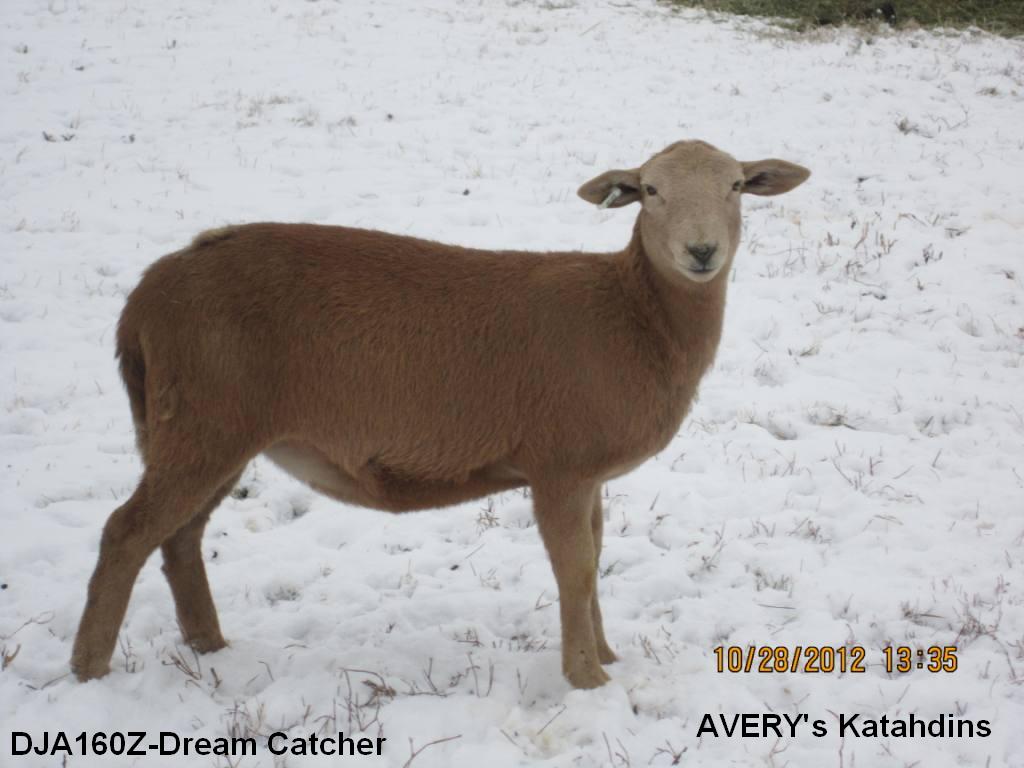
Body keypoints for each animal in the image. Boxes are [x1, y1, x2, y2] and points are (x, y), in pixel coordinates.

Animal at [71, 139, 809, 689]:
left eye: (736, 185)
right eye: (650, 190)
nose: (701, 252)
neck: (633, 315)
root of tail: (142, 302)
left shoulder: (590, 473)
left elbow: (596, 559)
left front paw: (605, 656)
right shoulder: (560, 464)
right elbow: (574, 568)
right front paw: (587, 680)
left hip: (202, 427)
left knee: (180, 538)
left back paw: (210, 647)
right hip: (202, 417)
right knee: (125, 532)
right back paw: (89, 669)